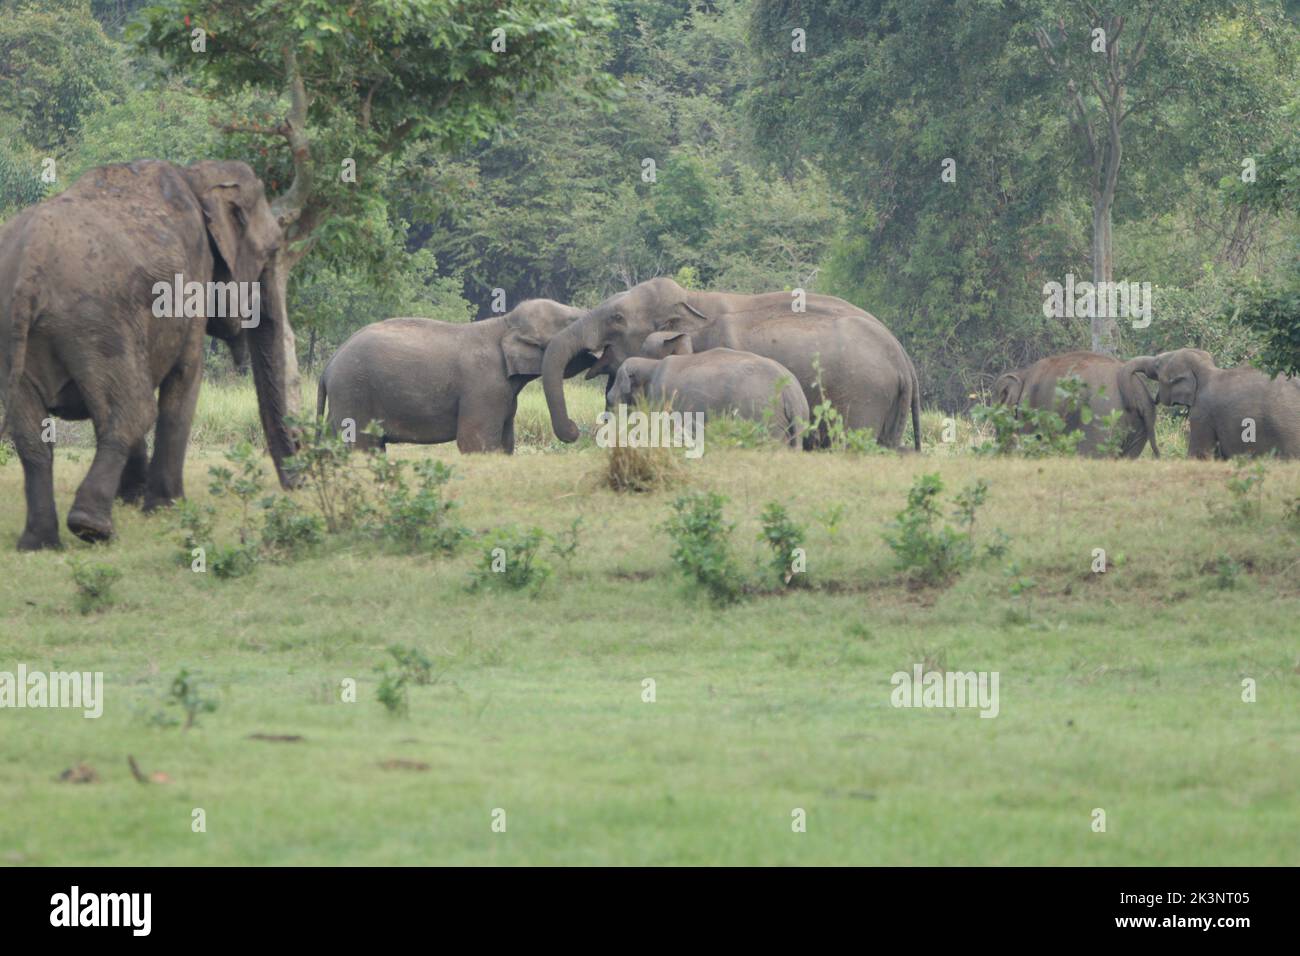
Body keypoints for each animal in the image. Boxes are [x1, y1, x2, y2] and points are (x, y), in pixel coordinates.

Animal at [0, 159, 297, 550]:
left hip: (20, 333)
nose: (297, 486)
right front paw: (166, 507)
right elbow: (185, 375)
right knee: (134, 410)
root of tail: (27, 271)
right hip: (100, 323)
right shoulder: (194, 278)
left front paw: (134, 499)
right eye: (271, 251)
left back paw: (40, 544)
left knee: (32, 433)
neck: (196, 176)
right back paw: (91, 528)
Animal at [316, 299, 591, 453]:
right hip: (353, 393)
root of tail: (328, 366)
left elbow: (506, 444)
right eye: (570, 322)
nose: (576, 429)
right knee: (362, 445)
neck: (503, 323)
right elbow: (475, 443)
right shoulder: (484, 387)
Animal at [606, 333, 810, 447]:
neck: (651, 365)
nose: (608, 398)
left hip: (764, 415)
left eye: (616, 385)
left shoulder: (662, 398)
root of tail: (791, 391)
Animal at [1128, 348, 1300, 459]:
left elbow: (1200, 453)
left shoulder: (1202, 412)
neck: (1205, 369)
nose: (1159, 455)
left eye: (1157, 364)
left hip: (1287, 425)